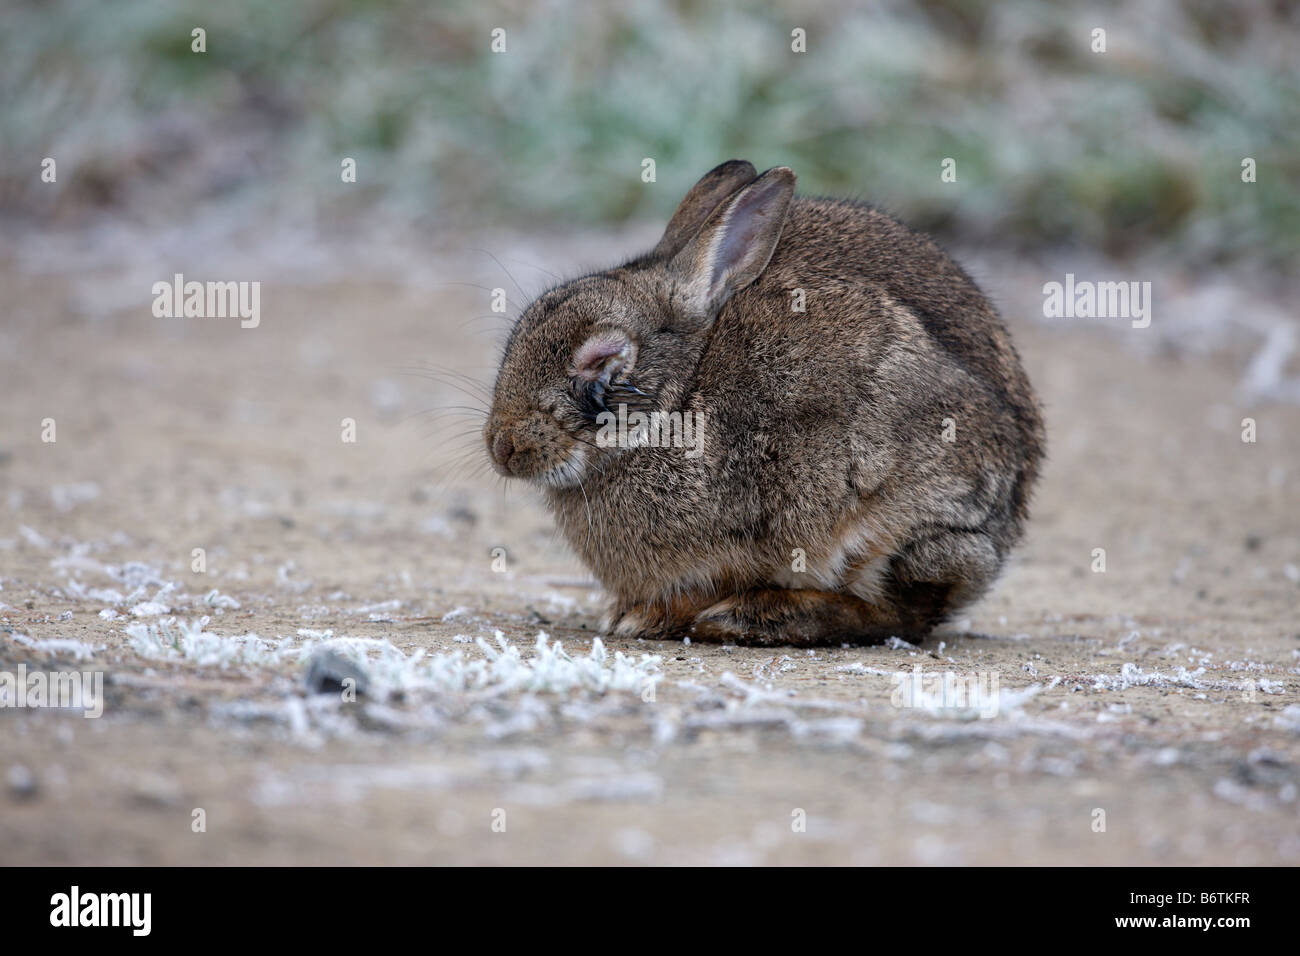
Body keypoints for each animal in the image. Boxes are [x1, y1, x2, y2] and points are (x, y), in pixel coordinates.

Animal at [484, 159, 1044, 646]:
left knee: (901, 614)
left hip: (896, 518)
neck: (677, 398)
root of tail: (1005, 528)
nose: (502, 448)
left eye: (601, 360)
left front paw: (645, 618)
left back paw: (753, 617)